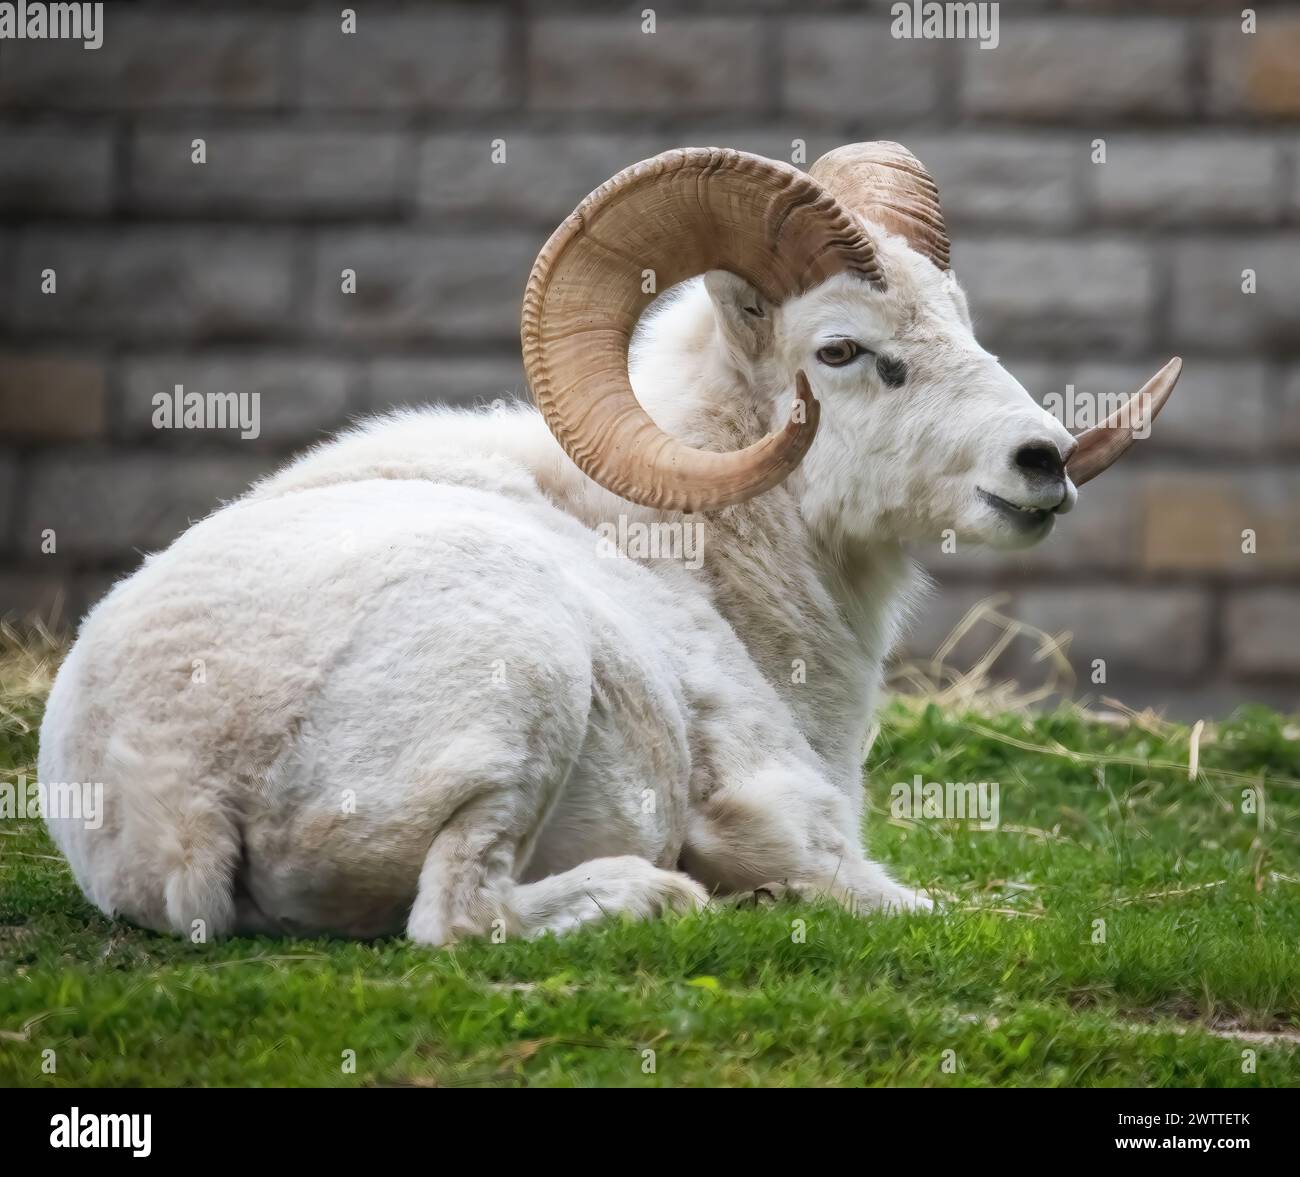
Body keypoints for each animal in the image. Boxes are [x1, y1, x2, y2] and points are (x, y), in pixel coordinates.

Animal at [38, 143, 1180, 944]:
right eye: (841, 351)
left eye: (959, 315)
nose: (1042, 462)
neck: (717, 561)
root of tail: (186, 786)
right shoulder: (780, 803)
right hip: (525, 690)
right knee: (458, 918)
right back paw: (656, 895)